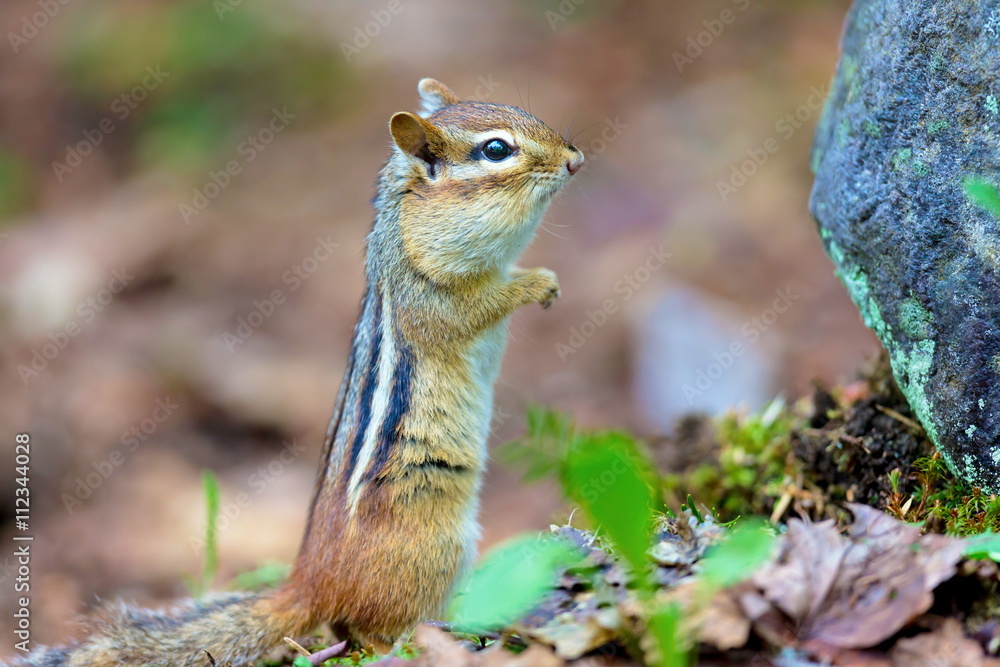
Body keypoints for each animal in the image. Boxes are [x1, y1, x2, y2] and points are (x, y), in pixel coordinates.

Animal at [8, 78, 584, 667]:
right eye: (496, 149)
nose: (575, 159)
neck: (406, 233)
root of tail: (311, 581)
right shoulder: (432, 296)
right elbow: (478, 306)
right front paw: (538, 283)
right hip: (437, 546)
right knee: (368, 629)